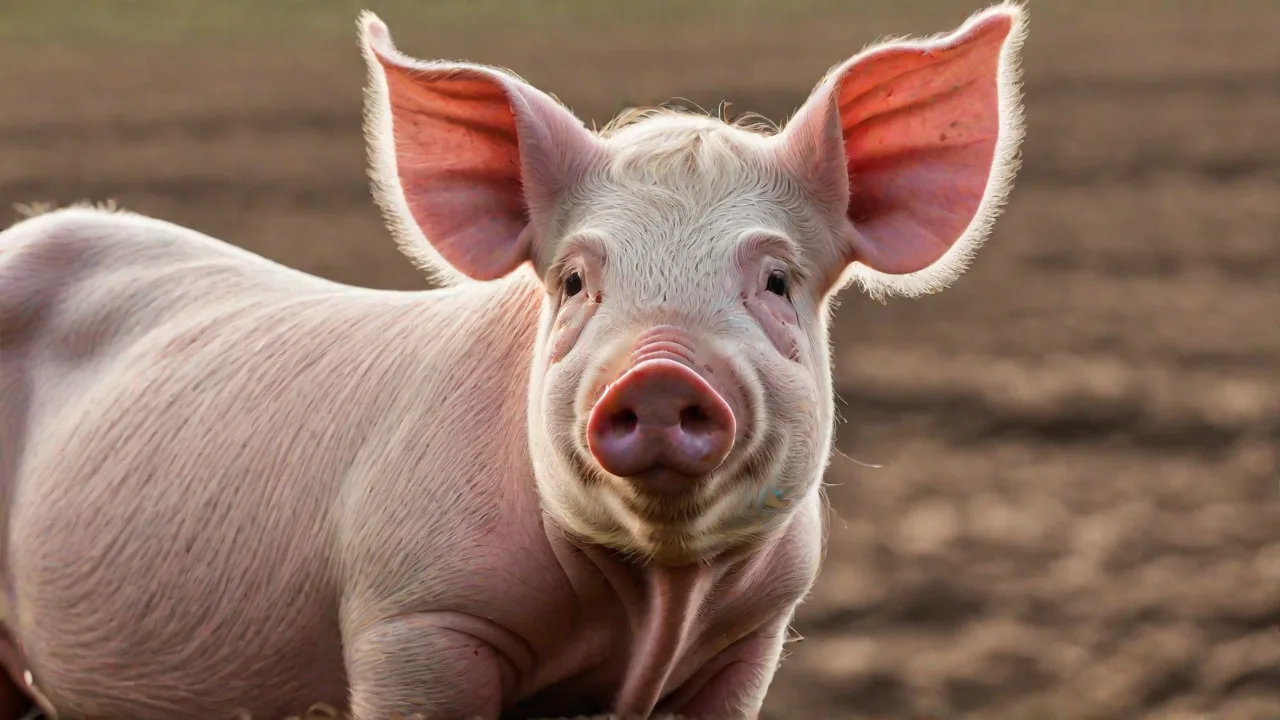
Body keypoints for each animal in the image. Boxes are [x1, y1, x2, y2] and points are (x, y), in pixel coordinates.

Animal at [0, 3, 1027, 719]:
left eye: (776, 280)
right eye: (574, 281)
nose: (661, 374)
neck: (656, 596)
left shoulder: (752, 638)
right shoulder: (416, 617)